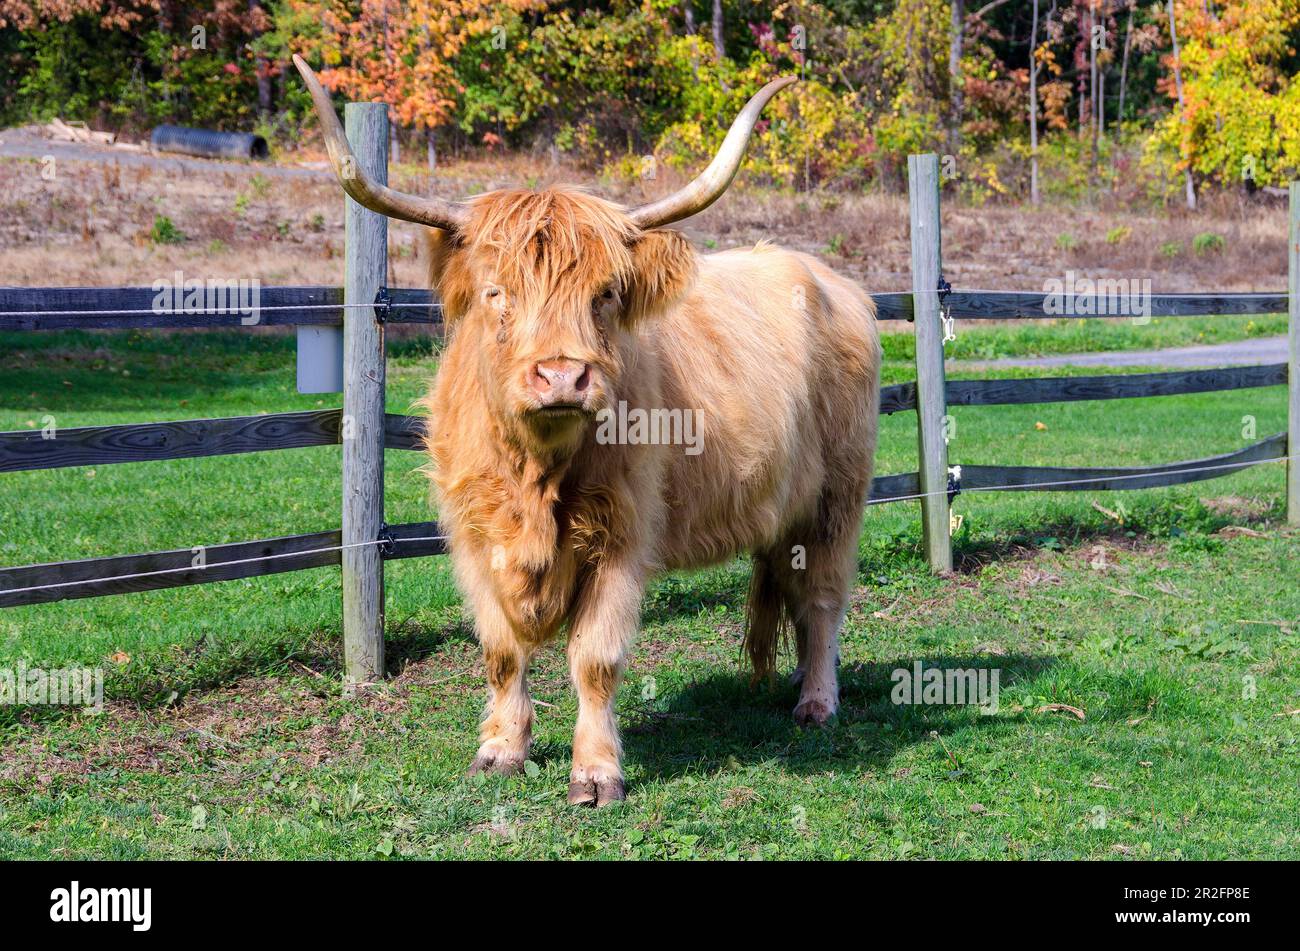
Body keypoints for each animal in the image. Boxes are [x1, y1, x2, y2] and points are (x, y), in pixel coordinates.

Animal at [294, 56, 881, 806]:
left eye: (604, 294)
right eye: (497, 293)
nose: (563, 376)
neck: (535, 477)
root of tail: (831, 280)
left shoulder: (625, 536)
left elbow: (595, 659)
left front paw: (596, 773)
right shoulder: (472, 535)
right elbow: (500, 650)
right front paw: (499, 750)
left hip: (838, 495)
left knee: (825, 600)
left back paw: (816, 703)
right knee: (797, 593)